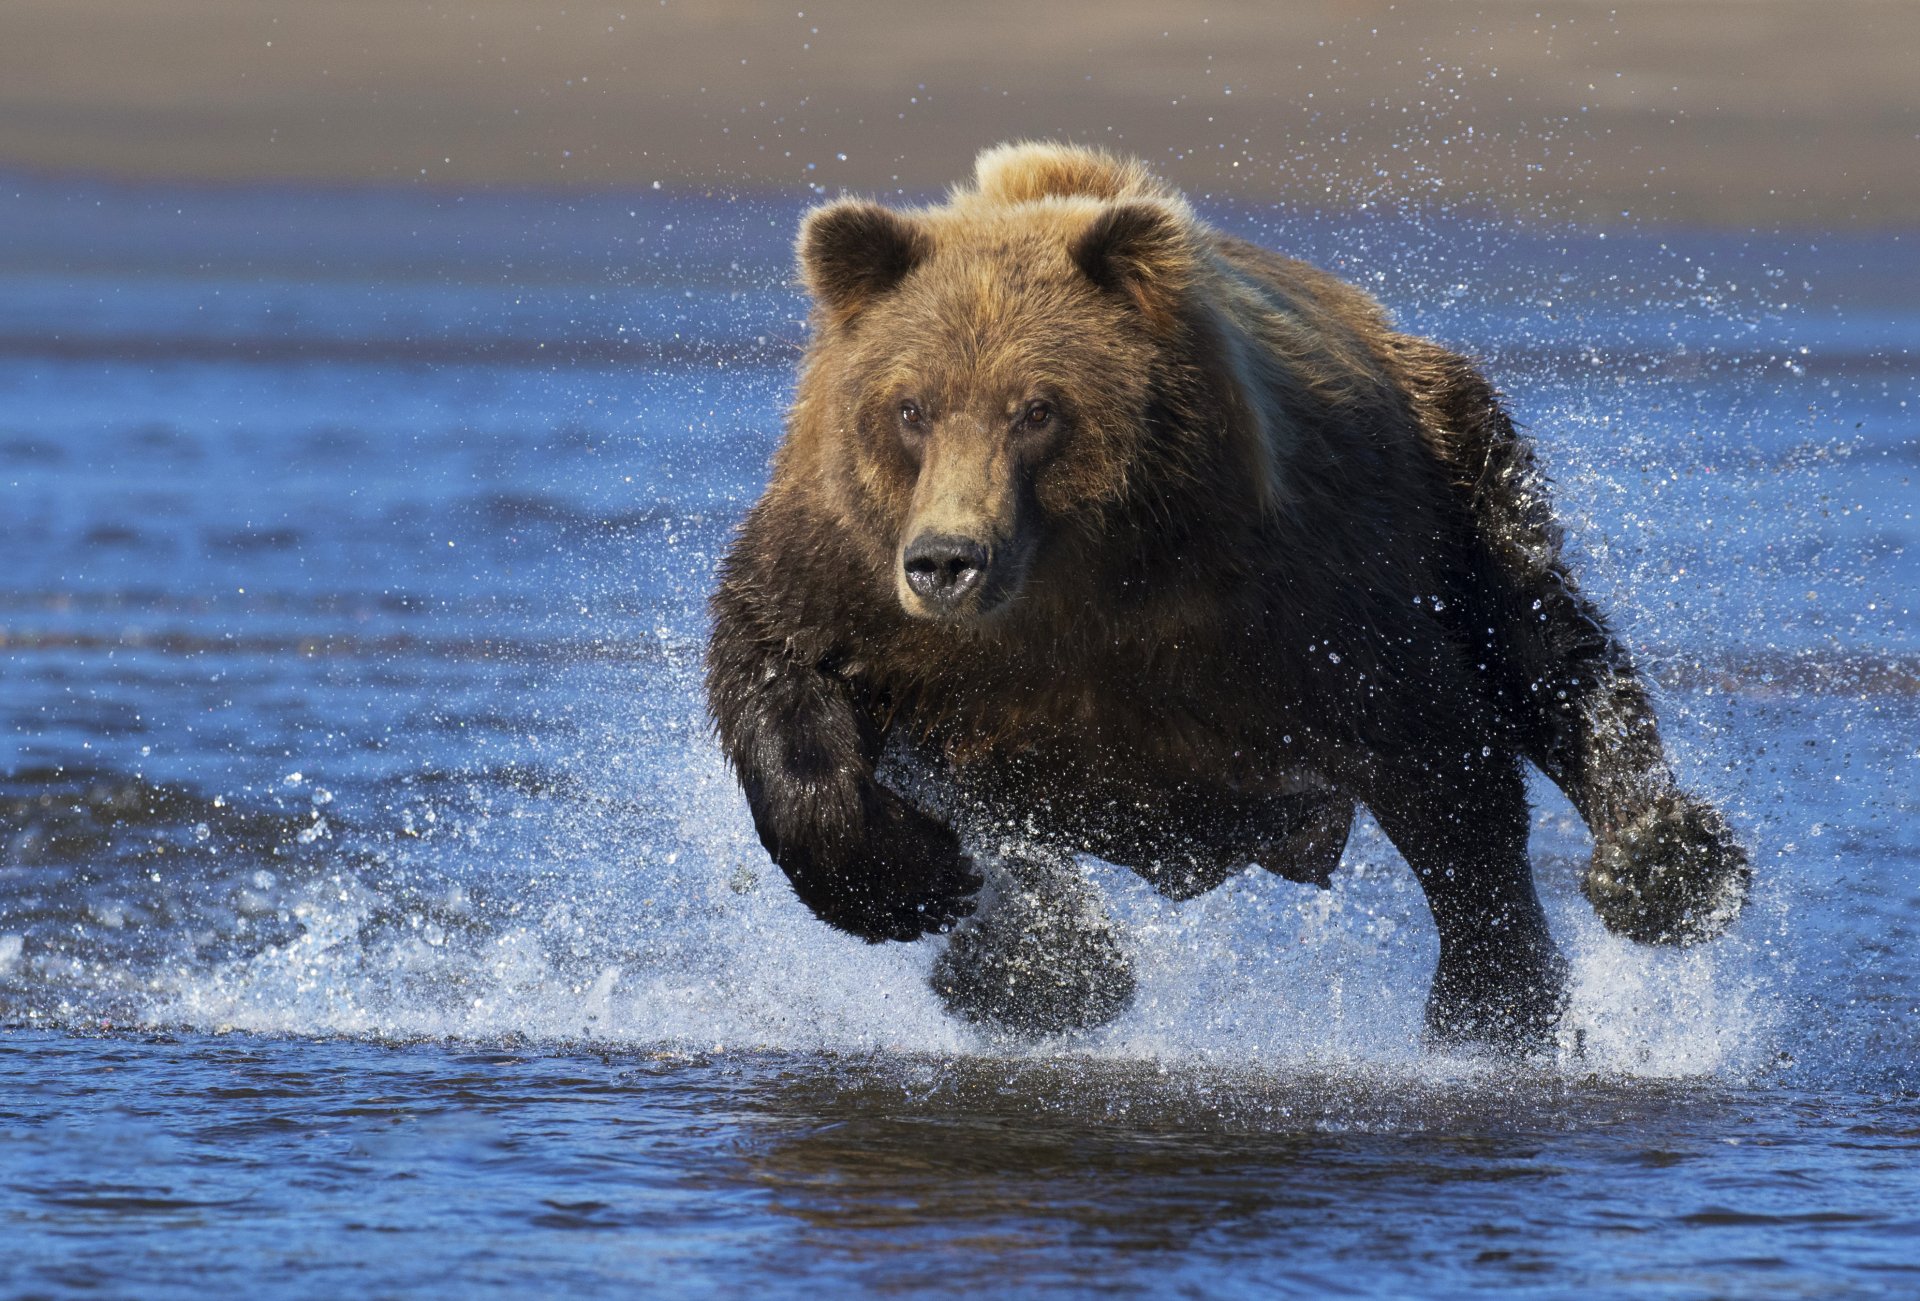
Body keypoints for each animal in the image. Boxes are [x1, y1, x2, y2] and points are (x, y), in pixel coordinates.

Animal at [705, 141, 1750, 1049]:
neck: (1076, 585)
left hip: (1453, 465)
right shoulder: (853, 574)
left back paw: (1660, 858)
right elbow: (777, 672)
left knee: (1546, 647)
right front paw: (911, 882)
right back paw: (1031, 969)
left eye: (1036, 407)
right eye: (910, 407)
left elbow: (1444, 759)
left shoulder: (1294, 596)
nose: (946, 560)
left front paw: (1494, 1006)